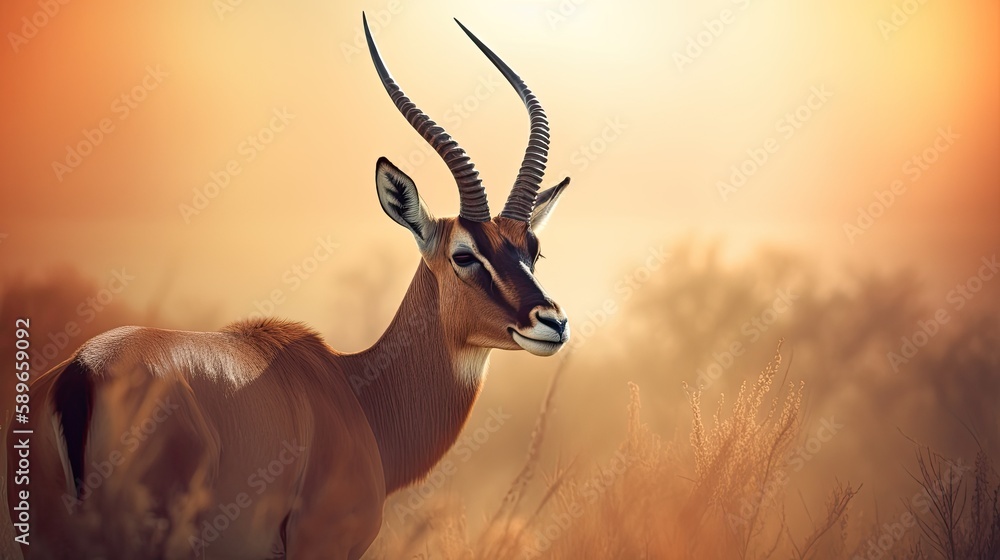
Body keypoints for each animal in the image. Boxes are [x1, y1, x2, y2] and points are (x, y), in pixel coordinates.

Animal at [5, 13, 571, 560]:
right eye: (464, 255)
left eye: (532, 250)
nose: (552, 322)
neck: (355, 391)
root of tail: (80, 373)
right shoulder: (320, 543)